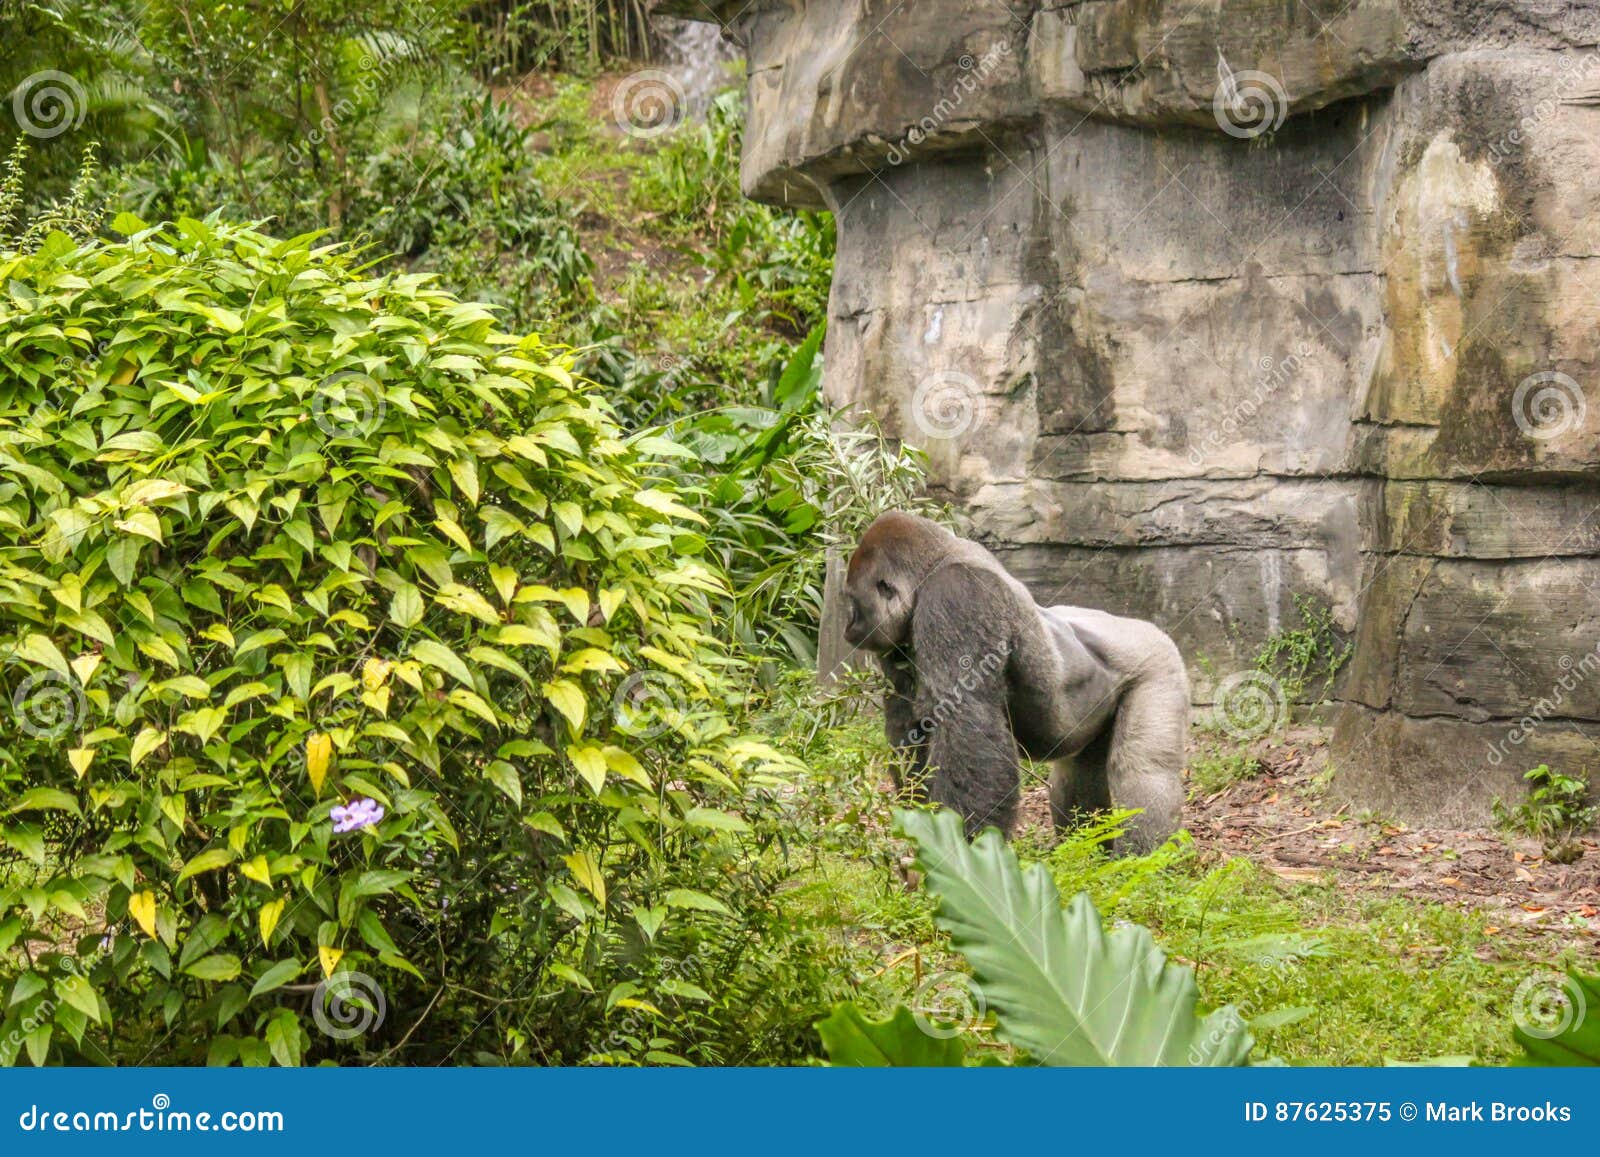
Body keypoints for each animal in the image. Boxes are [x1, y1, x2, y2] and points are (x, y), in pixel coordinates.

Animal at [842, 510, 1189, 855]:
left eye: (853, 601)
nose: (848, 625)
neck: (935, 566)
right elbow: (909, 725)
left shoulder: (958, 594)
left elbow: (967, 721)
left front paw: (962, 848)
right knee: (1076, 775)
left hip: (1159, 661)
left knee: (1143, 771)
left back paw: (1141, 859)